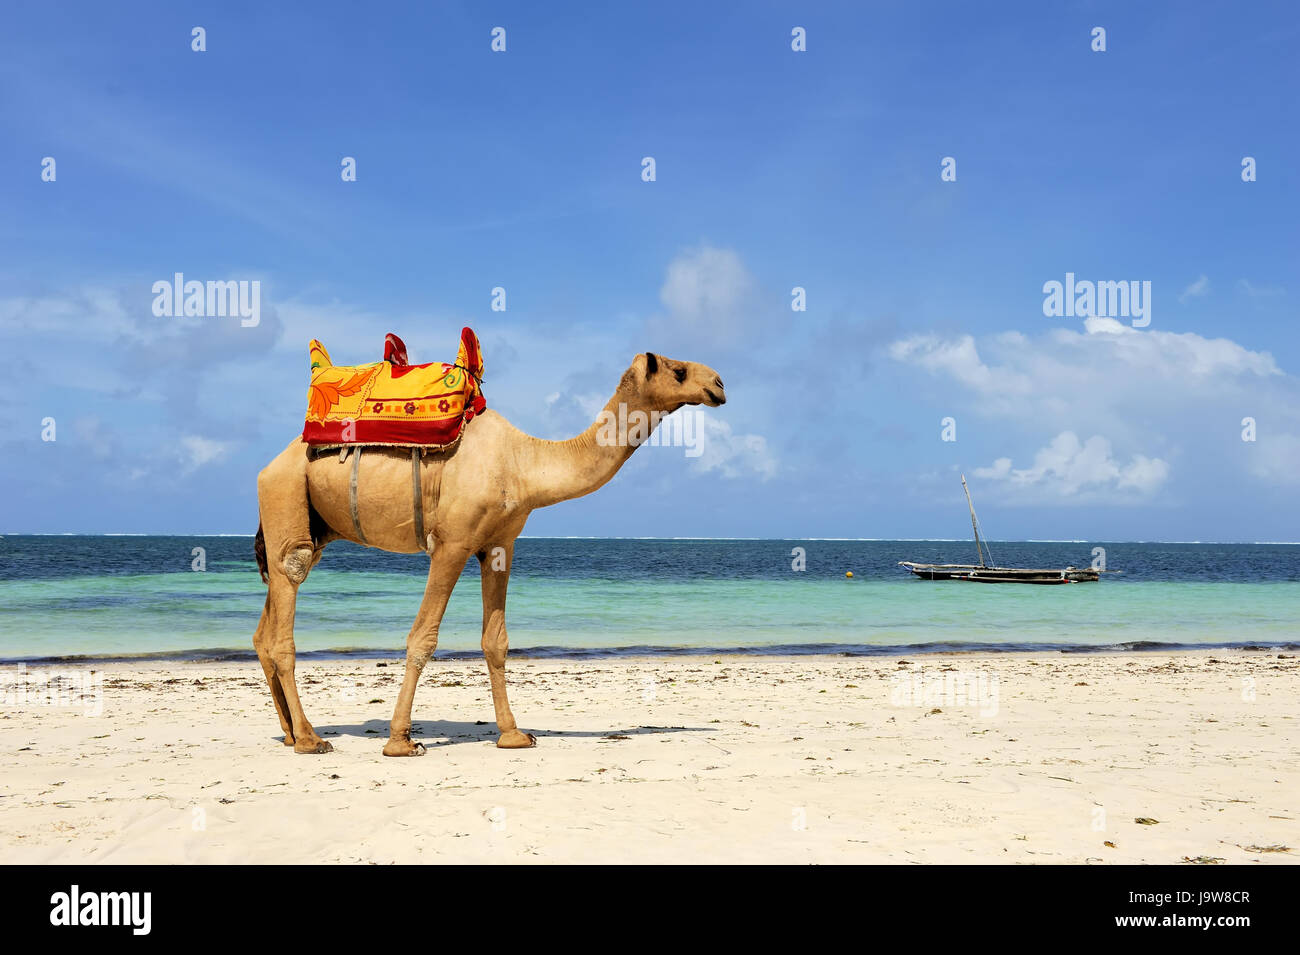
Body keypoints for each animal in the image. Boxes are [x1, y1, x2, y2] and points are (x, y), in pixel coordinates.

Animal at [252, 351, 726, 755]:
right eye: (678, 370)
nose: (719, 384)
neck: (524, 463)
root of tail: (268, 467)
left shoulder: (499, 545)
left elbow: (496, 641)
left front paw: (514, 735)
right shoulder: (452, 542)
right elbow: (423, 637)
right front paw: (400, 741)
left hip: (309, 525)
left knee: (265, 625)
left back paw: (291, 733)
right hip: (287, 495)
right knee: (287, 599)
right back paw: (311, 739)